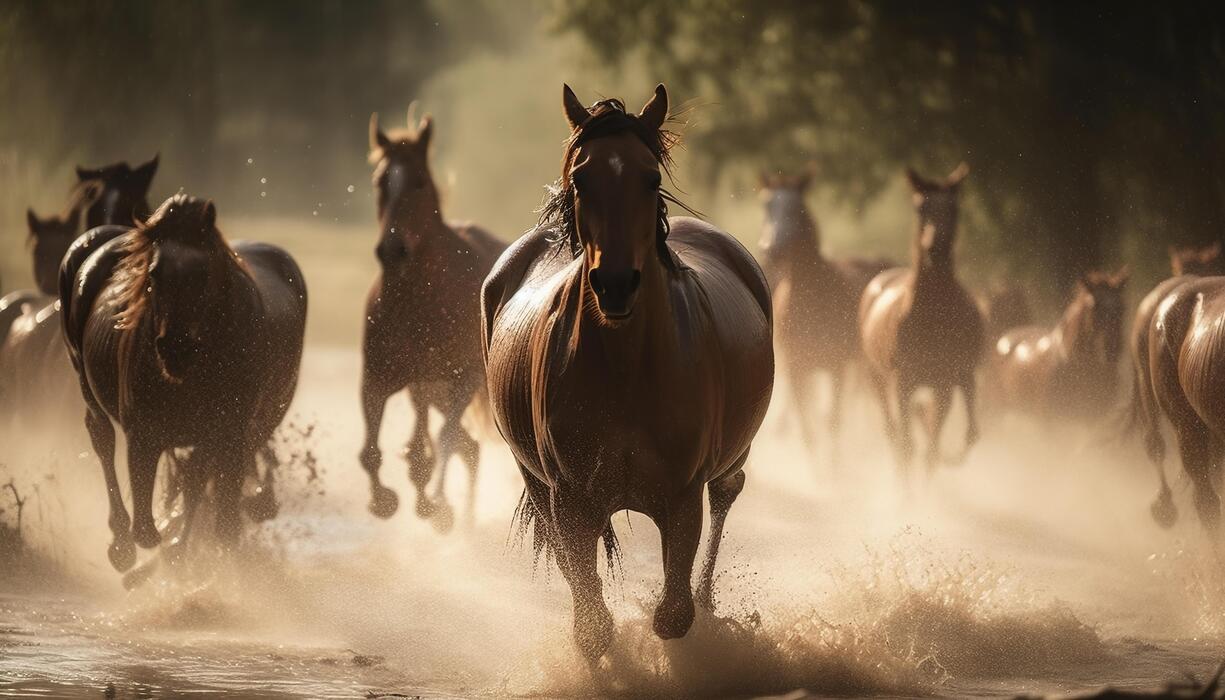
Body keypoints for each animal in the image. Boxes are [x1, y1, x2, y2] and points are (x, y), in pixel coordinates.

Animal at [60, 194, 306, 572]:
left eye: (204, 273)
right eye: (153, 273)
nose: (175, 346)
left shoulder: (226, 431)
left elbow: (207, 497)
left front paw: (182, 544)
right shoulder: (143, 434)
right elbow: (148, 526)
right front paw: (161, 545)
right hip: (85, 380)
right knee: (101, 438)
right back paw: (121, 545)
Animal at [359, 105, 506, 530]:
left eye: (420, 182)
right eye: (380, 182)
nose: (391, 250)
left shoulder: (463, 377)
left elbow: (440, 441)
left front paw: (437, 505)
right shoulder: (377, 378)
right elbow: (370, 451)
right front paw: (384, 500)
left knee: (460, 443)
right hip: (431, 389)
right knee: (468, 448)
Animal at [481, 84, 774, 662]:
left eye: (651, 177)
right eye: (581, 178)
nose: (615, 284)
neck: (626, 371)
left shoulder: (681, 499)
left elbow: (673, 614)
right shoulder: (571, 500)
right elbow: (592, 625)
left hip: (731, 463)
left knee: (726, 497)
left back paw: (711, 601)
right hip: (535, 478)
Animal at [759, 171, 890, 457]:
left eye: (796, 208)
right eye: (766, 205)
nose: (772, 250)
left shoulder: (836, 368)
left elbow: (832, 421)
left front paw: (835, 466)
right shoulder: (797, 370)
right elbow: (809, 428)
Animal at [859, 164, 983, 472]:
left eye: (954, 207)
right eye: (919, 207)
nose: (934, 249)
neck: (929, 317)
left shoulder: (943, 384)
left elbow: (930, 449)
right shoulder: (901, 382)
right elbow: (907, 446)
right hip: (877, 380)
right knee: (894, 434)